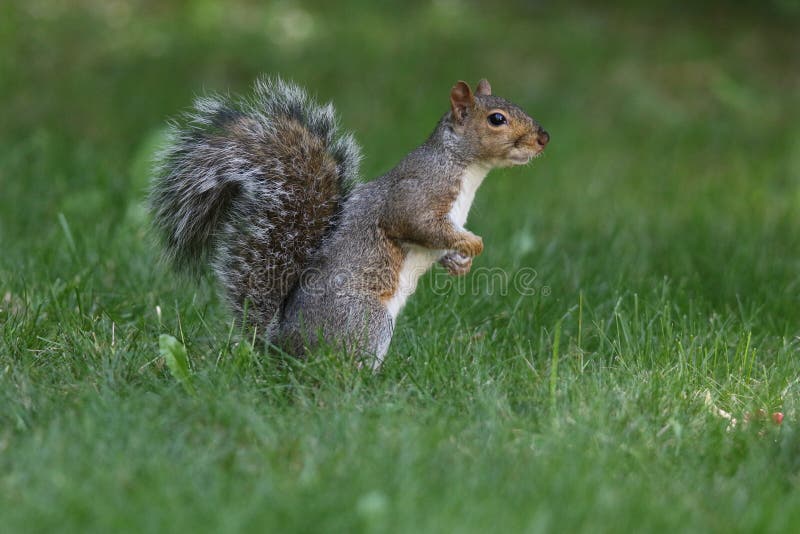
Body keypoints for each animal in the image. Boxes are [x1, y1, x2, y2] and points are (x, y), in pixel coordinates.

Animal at [150, 77, 548, 369]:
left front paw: (459, 262)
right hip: (367, 319)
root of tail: (281, 346)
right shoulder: (416, 195)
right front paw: (472, 244)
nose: (543, 138)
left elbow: (441, 242)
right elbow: (417, 225)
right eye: (497, 119)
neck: (466, 169)